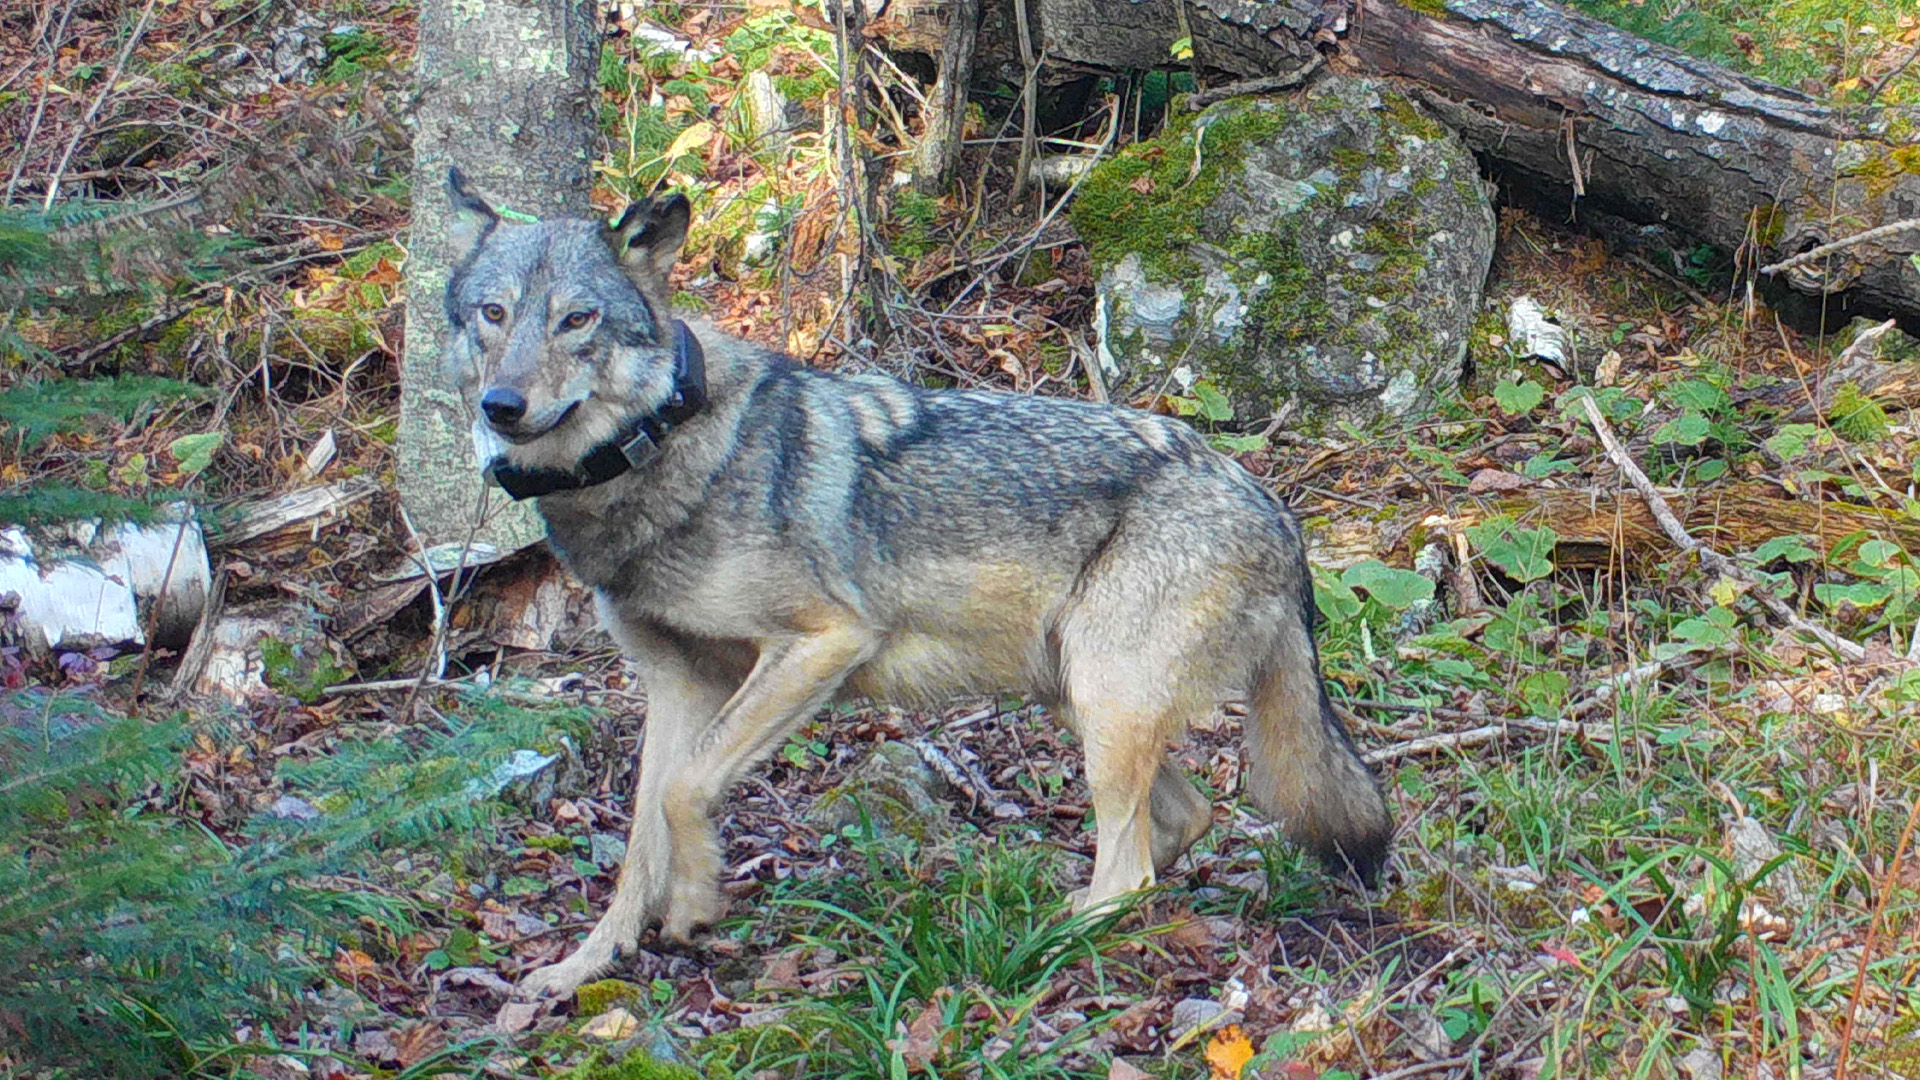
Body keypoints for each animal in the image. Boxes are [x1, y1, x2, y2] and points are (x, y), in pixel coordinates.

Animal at [440, 168, 1393, 999]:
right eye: (493, 314)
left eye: (577, 320)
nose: (501, 406)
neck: (660, 451)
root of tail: (1275, 510)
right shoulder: (676, 688)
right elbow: (641, 844)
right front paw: (586, 965)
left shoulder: (823, 643)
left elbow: (684, 794)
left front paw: (698, 902)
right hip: (1075, 698)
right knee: (1184, 823)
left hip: (1103, 702)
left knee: (1130, 873)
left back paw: (1041, 945)